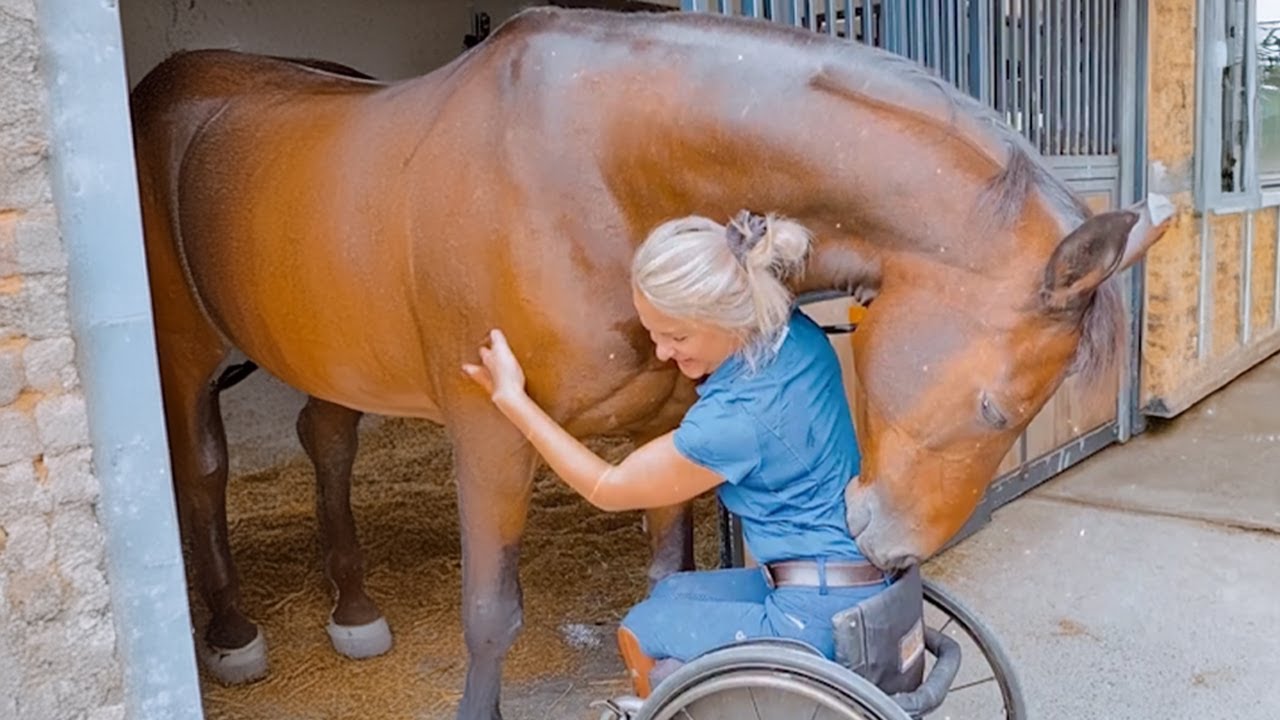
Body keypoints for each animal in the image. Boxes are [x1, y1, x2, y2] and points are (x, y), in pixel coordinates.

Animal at [127, 8, 1171, 719]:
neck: (594, 173)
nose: (890, 553)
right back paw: (231, 636)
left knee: (327, 443)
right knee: (201, 471)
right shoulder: (490, 435)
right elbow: (490, 613)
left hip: (331, 352)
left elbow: (663, 576)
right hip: (184, 356)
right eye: (998, 408)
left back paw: (352, 612)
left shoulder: (670, 428)